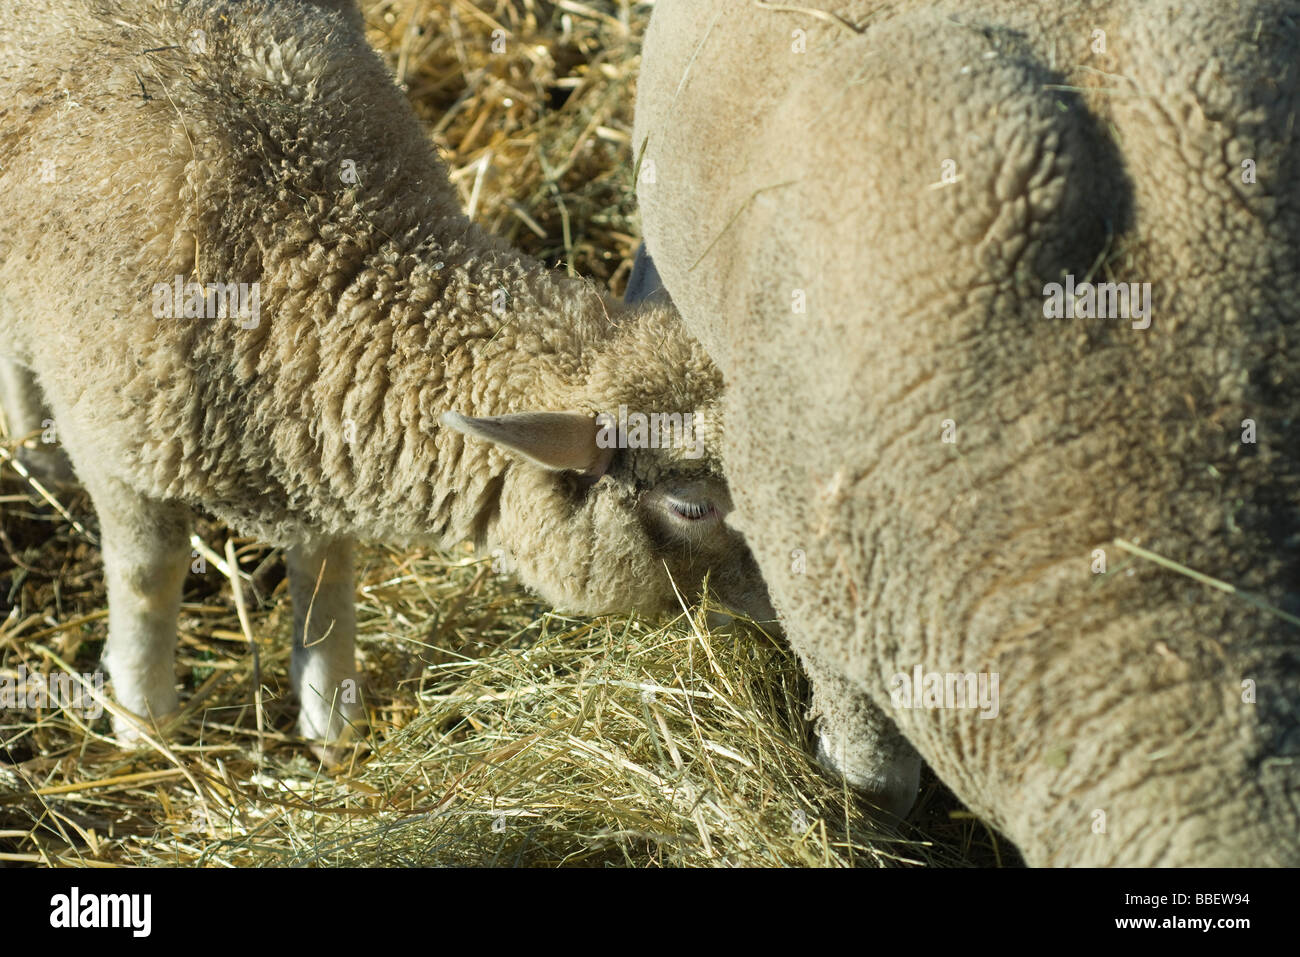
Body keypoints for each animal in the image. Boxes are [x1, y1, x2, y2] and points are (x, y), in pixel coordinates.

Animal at [0, 0, 771, 753]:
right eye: (693, 507)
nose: (783, 611)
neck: (303, 246)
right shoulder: (119, 447)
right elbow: (147, 579)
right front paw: (145, 723)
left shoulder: (317, 438)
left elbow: (324, 579)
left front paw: (332, 726)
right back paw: (34, 446)